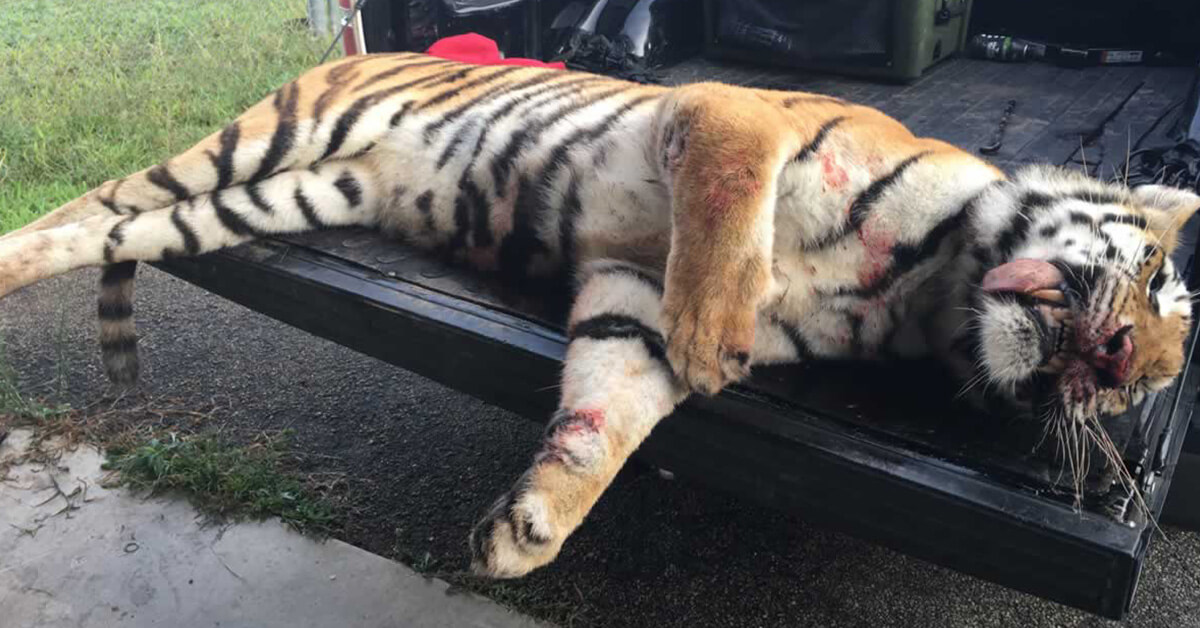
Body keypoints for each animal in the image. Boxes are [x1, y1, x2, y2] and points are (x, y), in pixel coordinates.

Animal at [1, 51, 1197, 579]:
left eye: (1143, 388)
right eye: (1154, 278)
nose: (1120, 363)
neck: (926, 285)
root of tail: (353, 45)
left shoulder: (624, 289)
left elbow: (608, 408)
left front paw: (533, 526)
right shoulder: (729, 115)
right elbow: (727, 210)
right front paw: (712, 341)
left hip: (287, 193)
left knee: (106, 229)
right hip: (262, 141)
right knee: (90, 199)